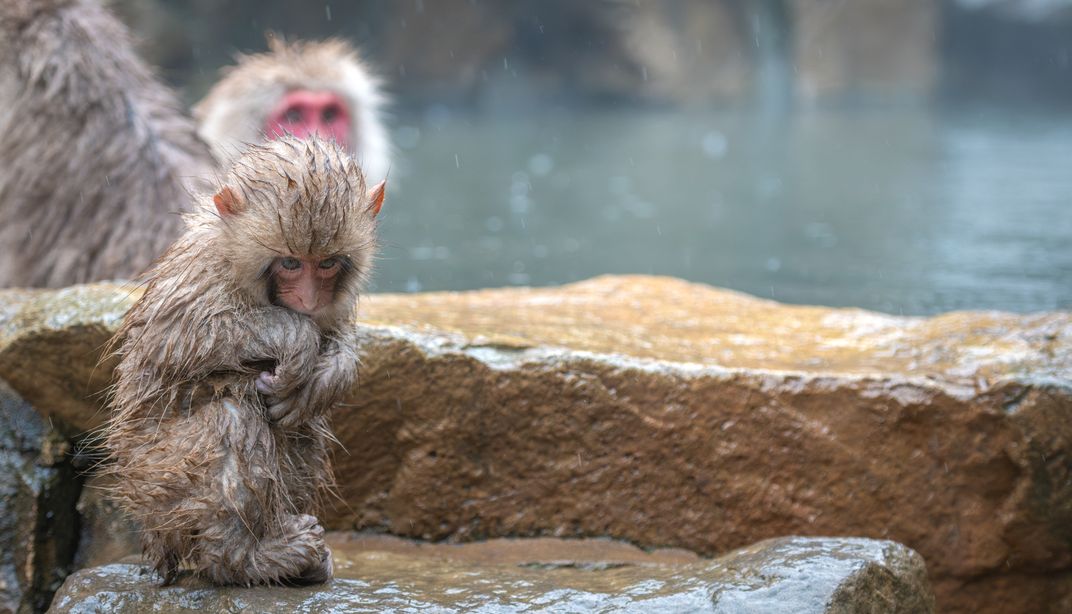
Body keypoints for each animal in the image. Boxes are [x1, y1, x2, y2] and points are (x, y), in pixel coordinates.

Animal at [103, 135, 385, 586]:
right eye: (290, 263)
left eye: (326, 263)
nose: (308, 301)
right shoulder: (200, 271)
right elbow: (177, 334)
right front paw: (296, 337)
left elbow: (336, 337)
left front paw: (328, 377)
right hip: (156, 480)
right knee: (232, 416)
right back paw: (246, 558)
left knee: (299, 430)